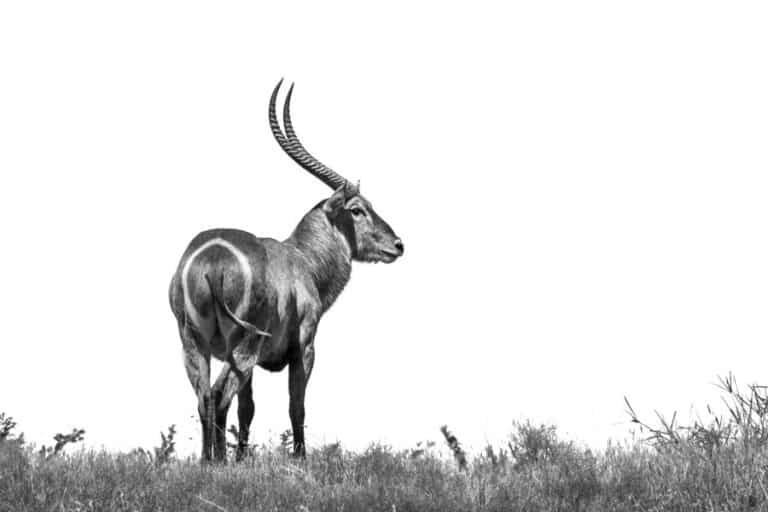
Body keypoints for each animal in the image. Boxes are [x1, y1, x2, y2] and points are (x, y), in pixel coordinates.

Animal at [168, 80, 404, 462]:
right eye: (357, 209)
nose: (397, 244)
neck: (302, 259)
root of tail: (213, 257)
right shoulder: (304, 347)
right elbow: (297, 406)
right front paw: (300, 458)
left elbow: (248, 409)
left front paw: (243, 458)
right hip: (242, 345)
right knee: (219, 394)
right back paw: (218, 462)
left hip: (192, 343)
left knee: (205, 397)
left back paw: (208, 460)